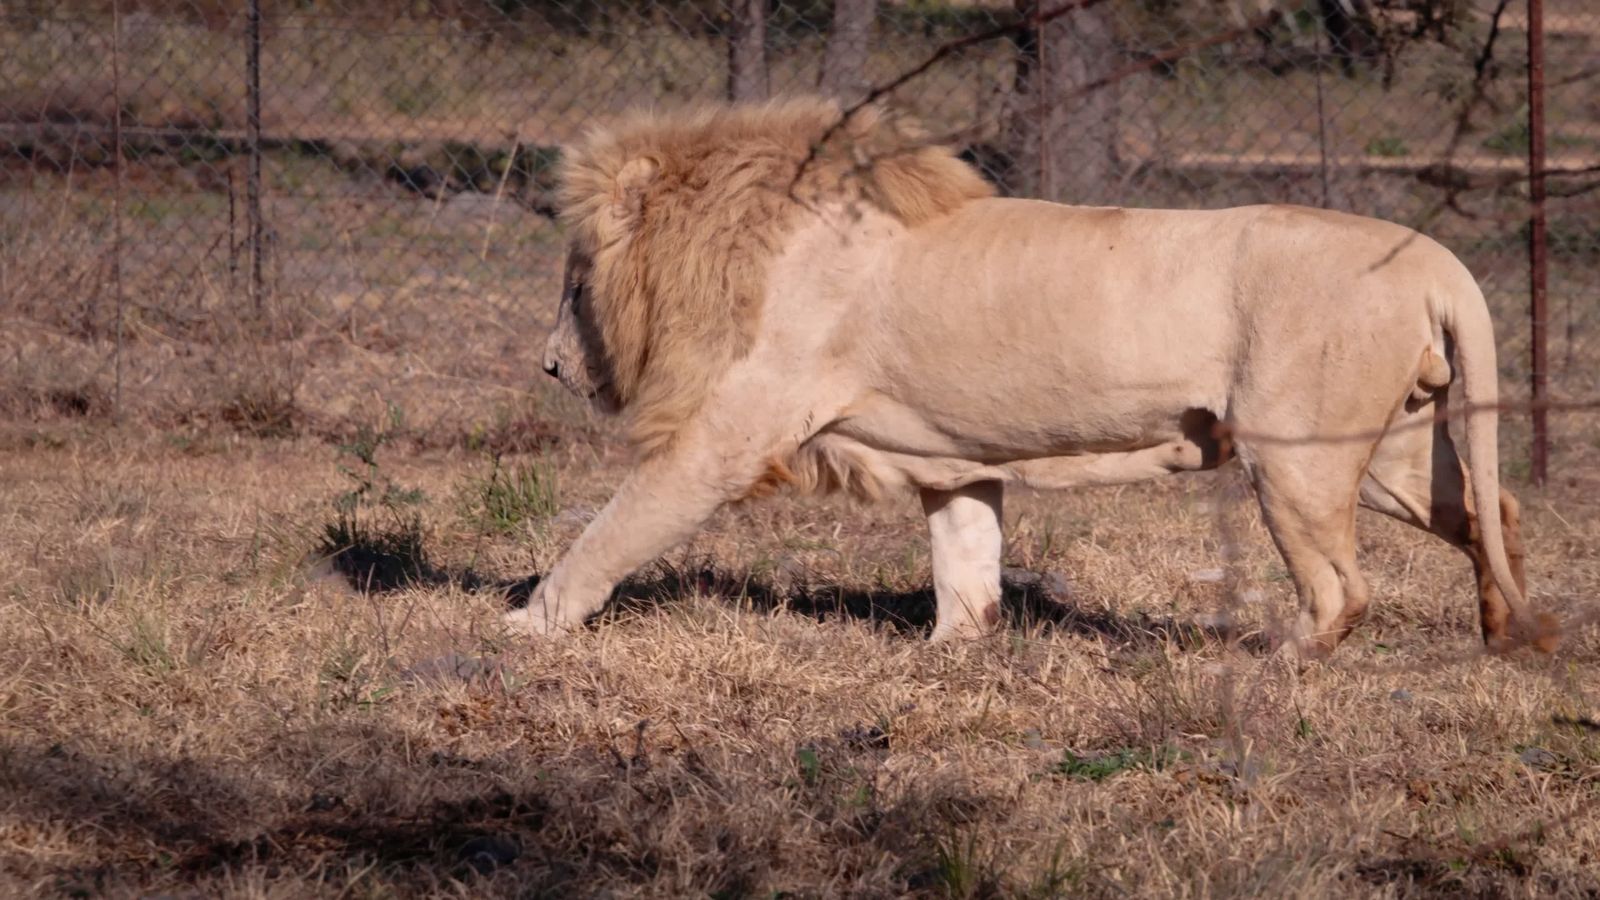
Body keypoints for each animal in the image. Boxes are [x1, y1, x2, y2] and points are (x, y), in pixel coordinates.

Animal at [508, 96, 1554, 660]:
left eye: (574, 280)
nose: (550, 363)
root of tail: (1435, 260)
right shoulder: (949, 457)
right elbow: (964, 558)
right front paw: (951, 651)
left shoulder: (726, 436)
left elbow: (615, 528)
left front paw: (527, 624)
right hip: (1384, 455)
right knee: (1492, 511)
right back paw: (1504, 633)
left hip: (1293, 456)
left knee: (1344, 589)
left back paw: (1276, 658)